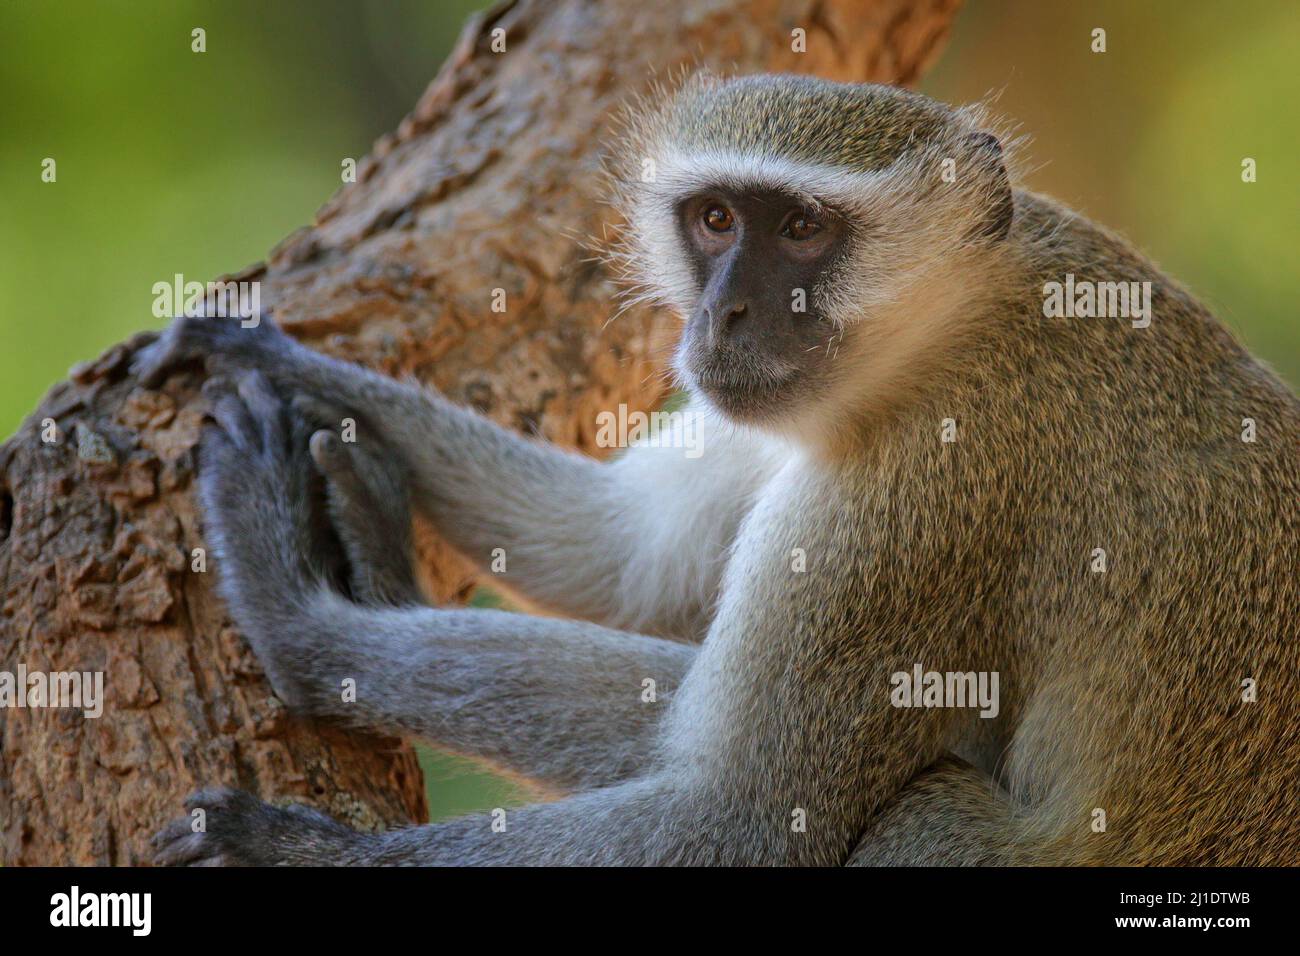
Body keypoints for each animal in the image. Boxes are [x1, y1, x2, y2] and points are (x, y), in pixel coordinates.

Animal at [140, 73, 1300, 866]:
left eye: (803, 228)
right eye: (714, 218)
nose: (724, 314)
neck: (947, 321)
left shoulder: (927, 487)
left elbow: (737, 818)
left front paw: (300, 645)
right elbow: (628, 555)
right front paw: (272, 357)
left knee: (915, 812)